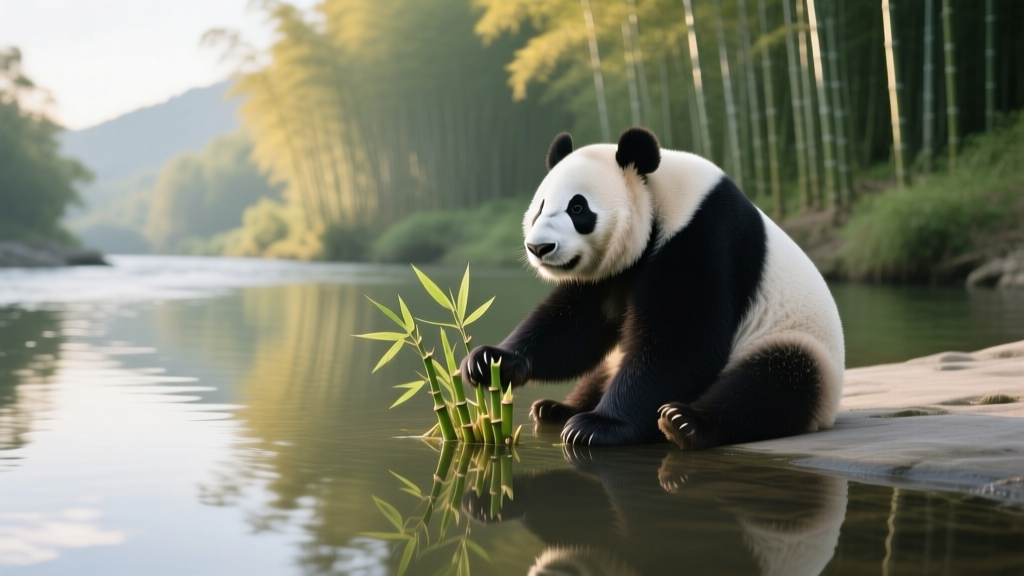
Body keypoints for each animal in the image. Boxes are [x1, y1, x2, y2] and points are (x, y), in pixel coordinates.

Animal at [459, 127, 844, 449]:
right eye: (539, 207)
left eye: (578, 207)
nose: (539, 248)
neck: (661, 195)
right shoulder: (612, 272)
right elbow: (573, 326)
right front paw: (490, 361)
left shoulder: (703, 235)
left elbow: (683, 342)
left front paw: (599, 426)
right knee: (602, 370)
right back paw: (557, 408)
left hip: (796, 343)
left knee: (776, 384)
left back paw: (685, 422)